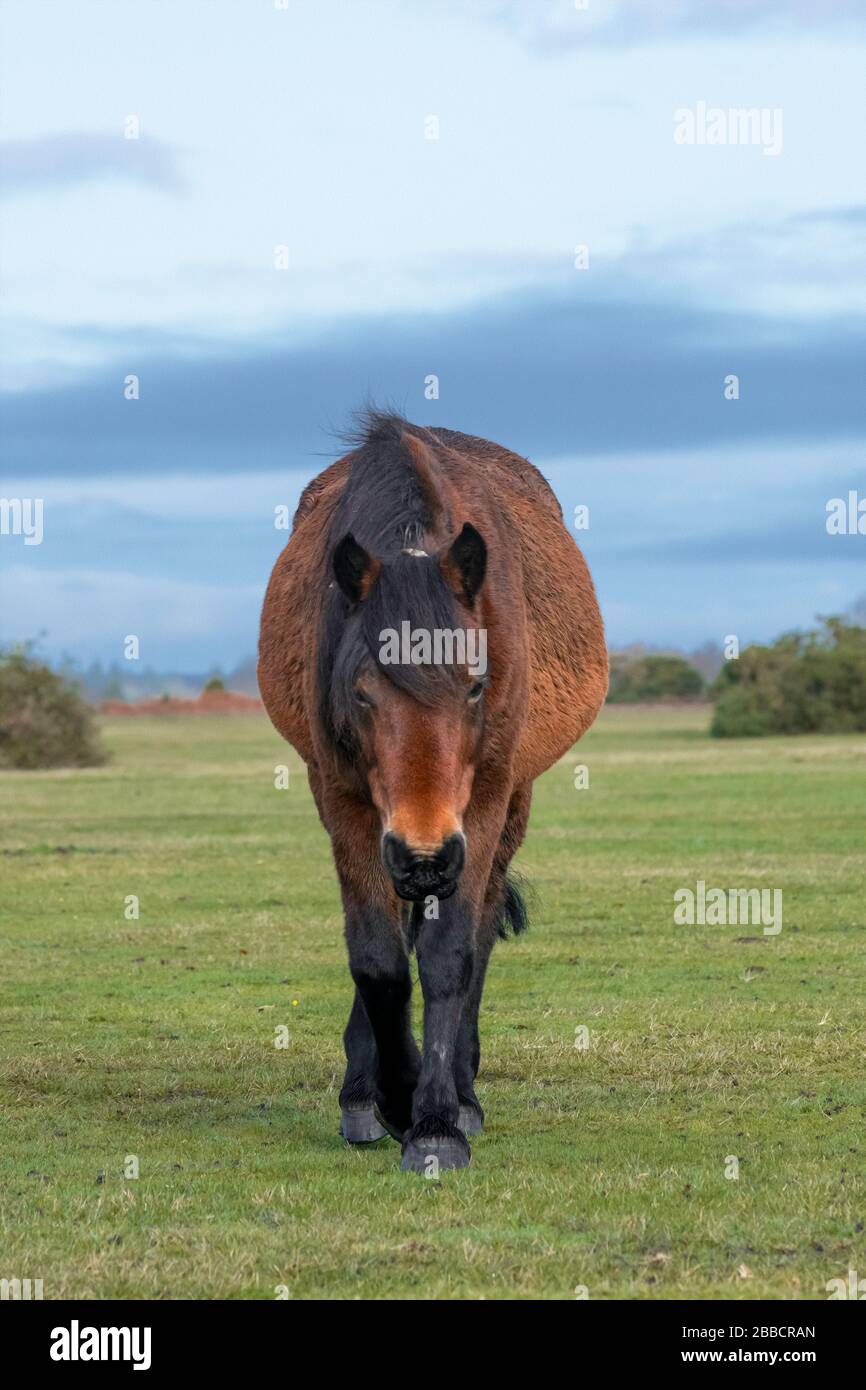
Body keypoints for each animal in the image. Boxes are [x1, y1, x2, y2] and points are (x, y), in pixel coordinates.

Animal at [258, 411, 607, 1171]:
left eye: (475, 685)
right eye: (362, 692)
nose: (425, 854)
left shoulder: (483, 802)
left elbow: (450, 955)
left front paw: (439, 1121)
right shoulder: (345, 801)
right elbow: (378, 960)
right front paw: (391, 1096)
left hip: (504, 811)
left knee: (475, 928)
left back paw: (464, 1091)